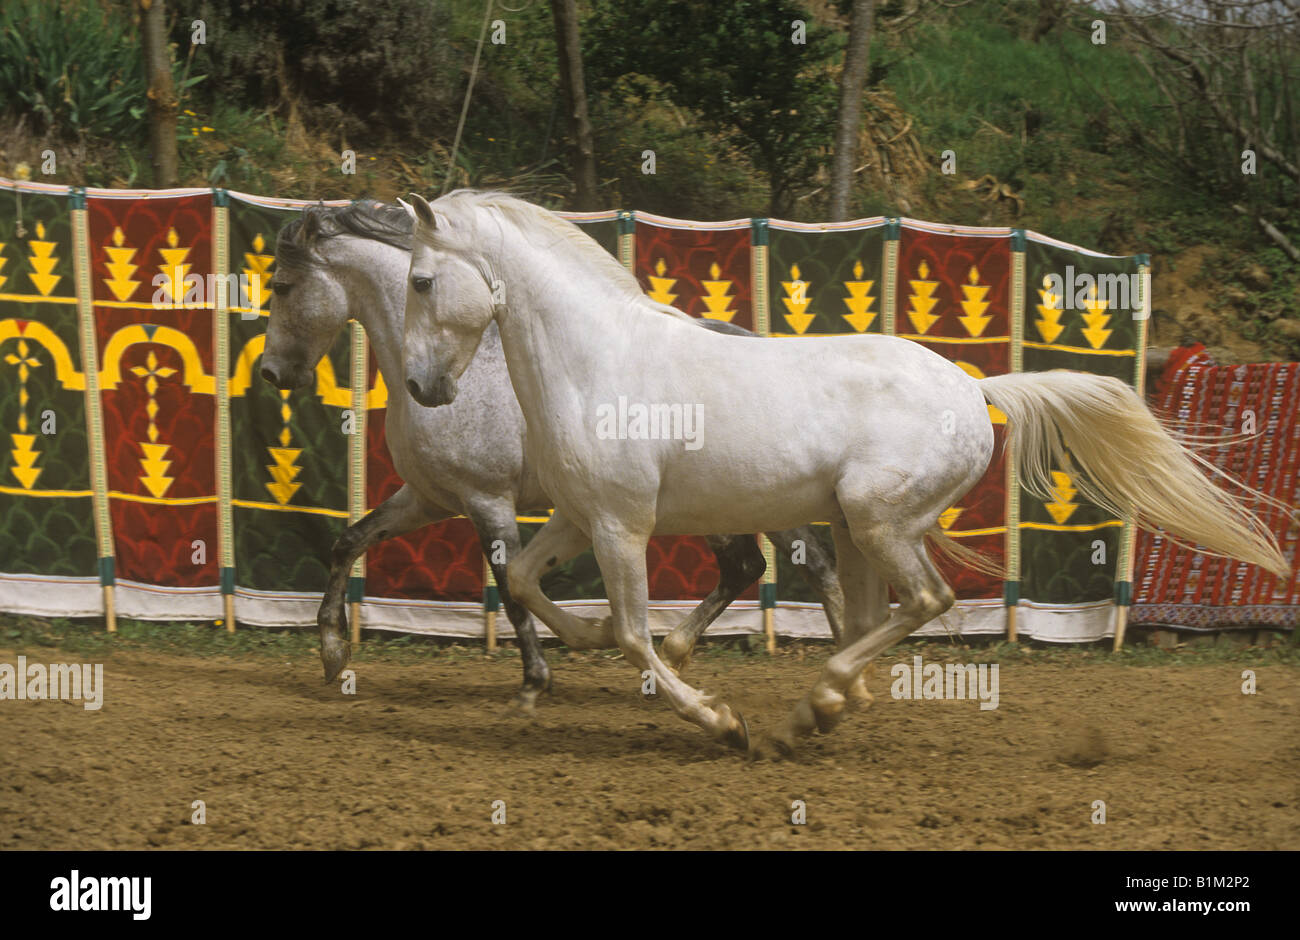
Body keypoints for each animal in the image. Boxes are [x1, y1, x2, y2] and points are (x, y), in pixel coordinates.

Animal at [260, 200, 849, 709]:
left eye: (283, 287)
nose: (270, 371)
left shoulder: (488, 502)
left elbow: (510, 587)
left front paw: (537, 679)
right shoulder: (428, 499)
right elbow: (348, 543)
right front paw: (333, 654)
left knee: (767, 564)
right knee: (783, 564)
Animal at [398, 189, 1289, 756]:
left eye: (421, 278)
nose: (419, 387)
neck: (594, 359)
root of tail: (974, 388)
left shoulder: (623, 525)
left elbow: (631, 632)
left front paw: (721, 721)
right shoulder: (578, 517)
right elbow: (526, 583)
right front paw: (575, 648)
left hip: (876, 519)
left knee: (924, 602)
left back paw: (807, 711)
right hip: (852, 529)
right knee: (866, 617)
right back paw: (822, 711)